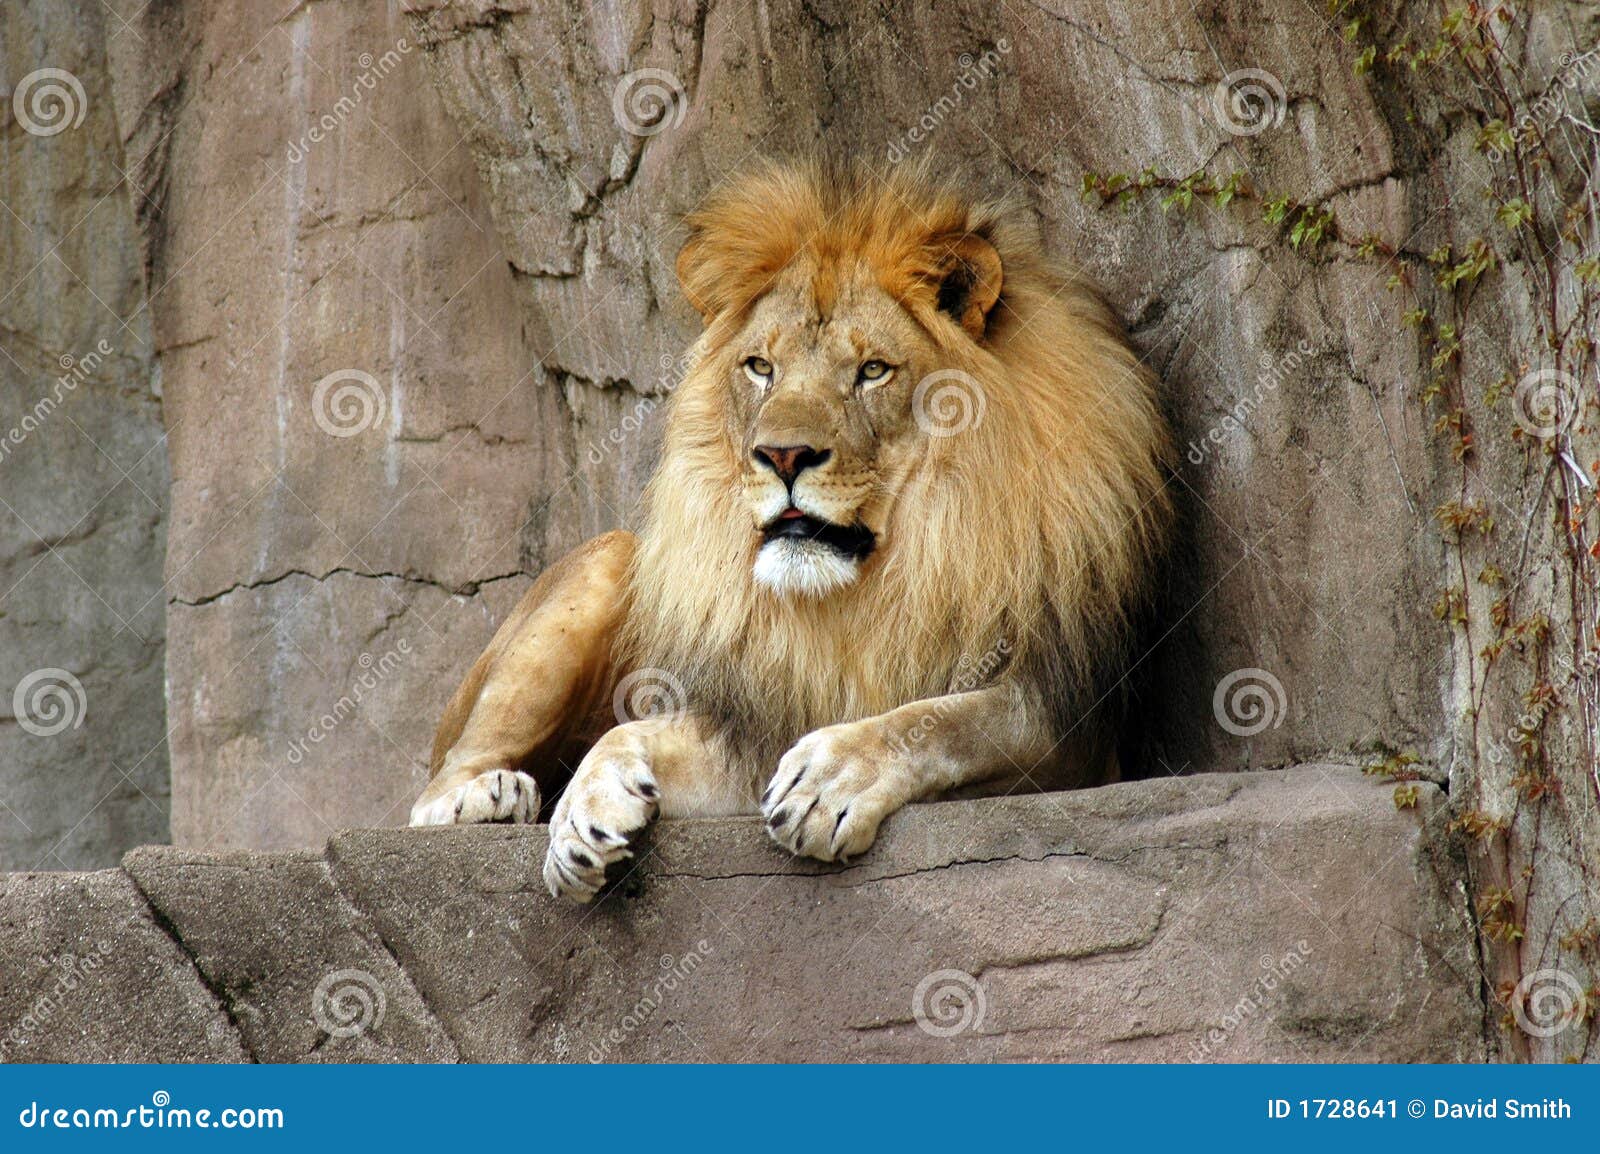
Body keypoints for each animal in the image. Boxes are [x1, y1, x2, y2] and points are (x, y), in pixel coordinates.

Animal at [409, 160, 1174, 902]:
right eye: (761, 368)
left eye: (872, 370)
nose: (781, 455)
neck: (884, 578)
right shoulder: (757, 721)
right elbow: (632, 729)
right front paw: (581, 813)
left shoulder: (1068, 720)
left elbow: (945, 721)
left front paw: (829, 778)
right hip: (607, 562)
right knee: (429, 792)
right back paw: (485, 796)